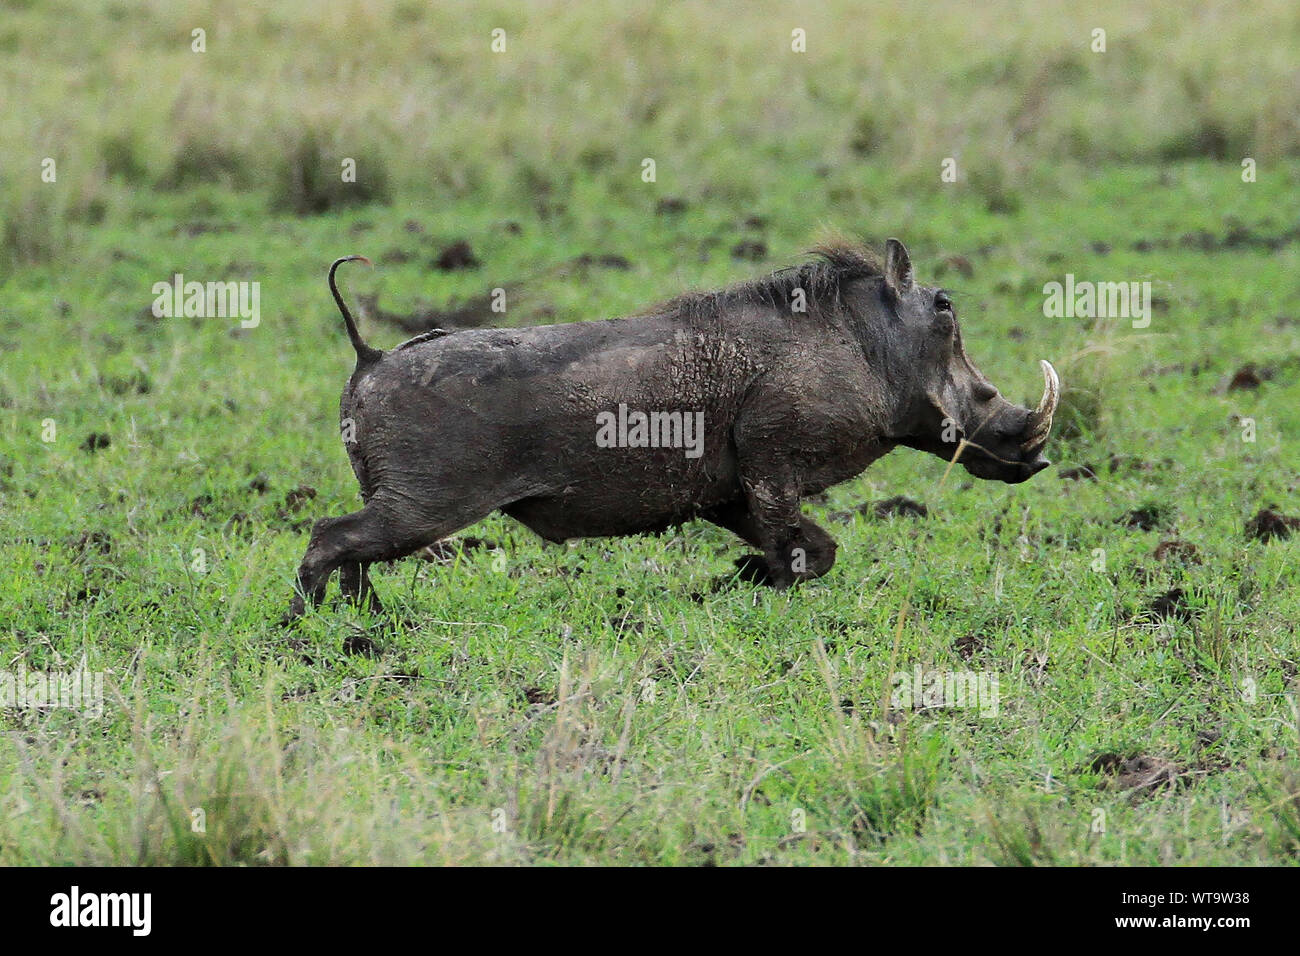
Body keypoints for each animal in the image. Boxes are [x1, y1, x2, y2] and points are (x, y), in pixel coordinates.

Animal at [286, 239, 1058, 619]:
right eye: (945, 307)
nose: (1035, 456)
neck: (861, 346)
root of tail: (370, 357)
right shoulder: (773, 467)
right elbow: (801, 551)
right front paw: (750, 588)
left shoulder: (729, 491)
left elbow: (810, 548)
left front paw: (737, 578)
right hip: (422, 504)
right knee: (331, 537)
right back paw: (311, 632)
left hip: (402, 502)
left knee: (352, 554)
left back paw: (371, 625)